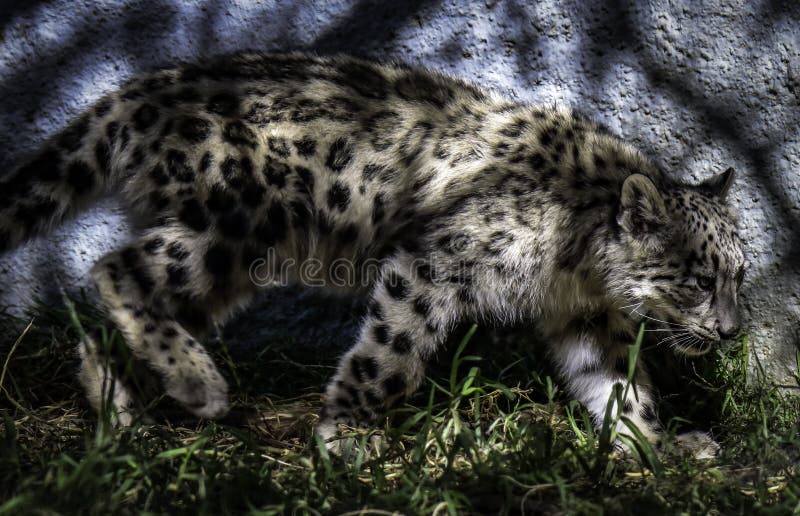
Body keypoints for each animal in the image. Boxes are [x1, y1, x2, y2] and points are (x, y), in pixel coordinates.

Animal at [0, 52, 745, 458]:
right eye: (696, 279)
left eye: (739, 275)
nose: (732, 332)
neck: (581, 272)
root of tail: (133, 94)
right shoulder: (435, 264)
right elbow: (391, 351)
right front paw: (349, 435)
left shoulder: (586, 320)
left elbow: (621, 387)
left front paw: (658, 447)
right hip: (233, 226)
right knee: (113, 269)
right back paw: (196, 387)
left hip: (221, 258)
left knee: (125, 311)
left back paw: (122, 417)